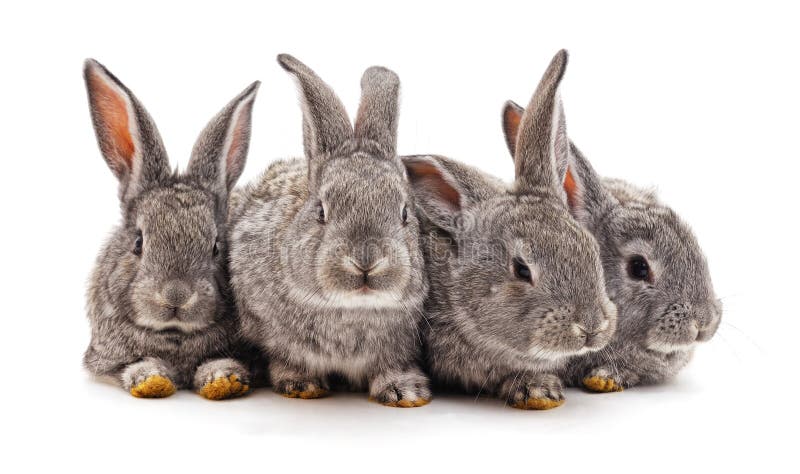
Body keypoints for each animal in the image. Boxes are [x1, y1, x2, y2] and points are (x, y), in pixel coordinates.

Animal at [82, 59, 259, 399]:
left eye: (217, 247)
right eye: (138, 243)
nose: (176, 296)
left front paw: (223, 380)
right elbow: (132, 367)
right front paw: (151, 381)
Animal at [228, 55, 431, 407]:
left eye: (405, 213)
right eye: (321, 211)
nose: (366, 262)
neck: (350, 306)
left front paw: (404, 391)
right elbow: (287, 358)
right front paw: (300, 384)